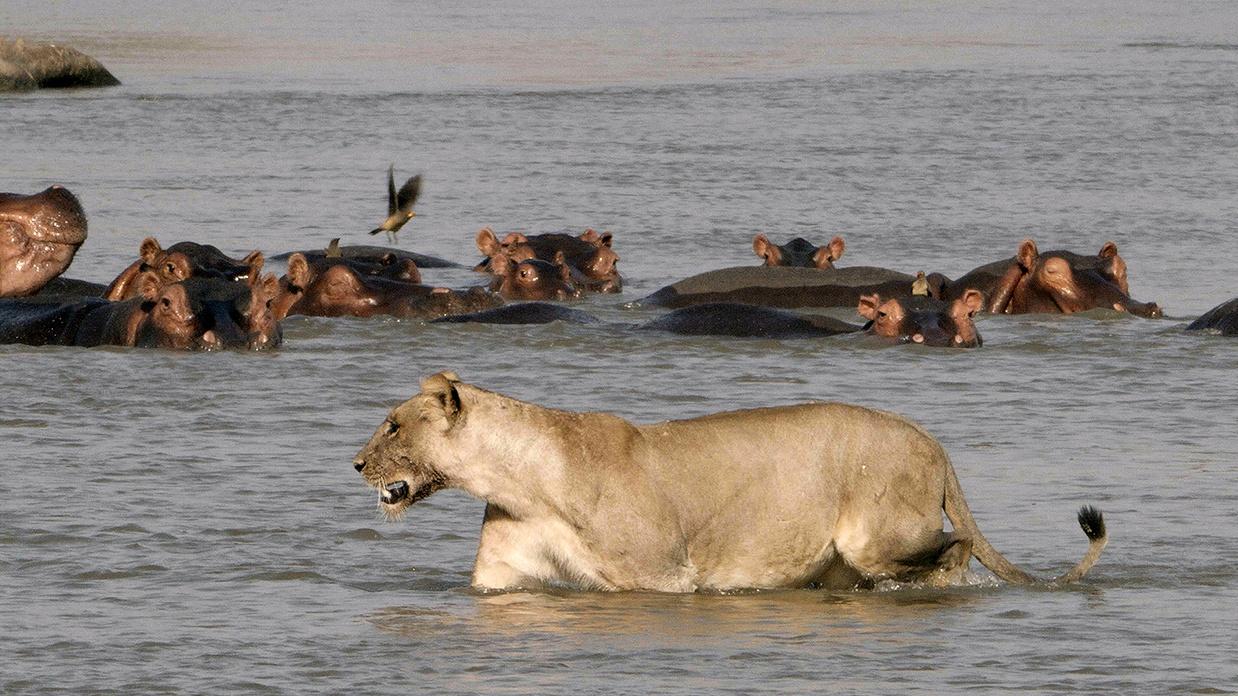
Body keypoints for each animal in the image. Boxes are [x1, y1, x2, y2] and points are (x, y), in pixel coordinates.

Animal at [352, 372, 1107, 592]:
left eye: (392, 425)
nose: (355, 464)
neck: (521, 481)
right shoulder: (502, 573)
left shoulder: (664, 578)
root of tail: (934, 441)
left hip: (874, 534)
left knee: (954, 548)